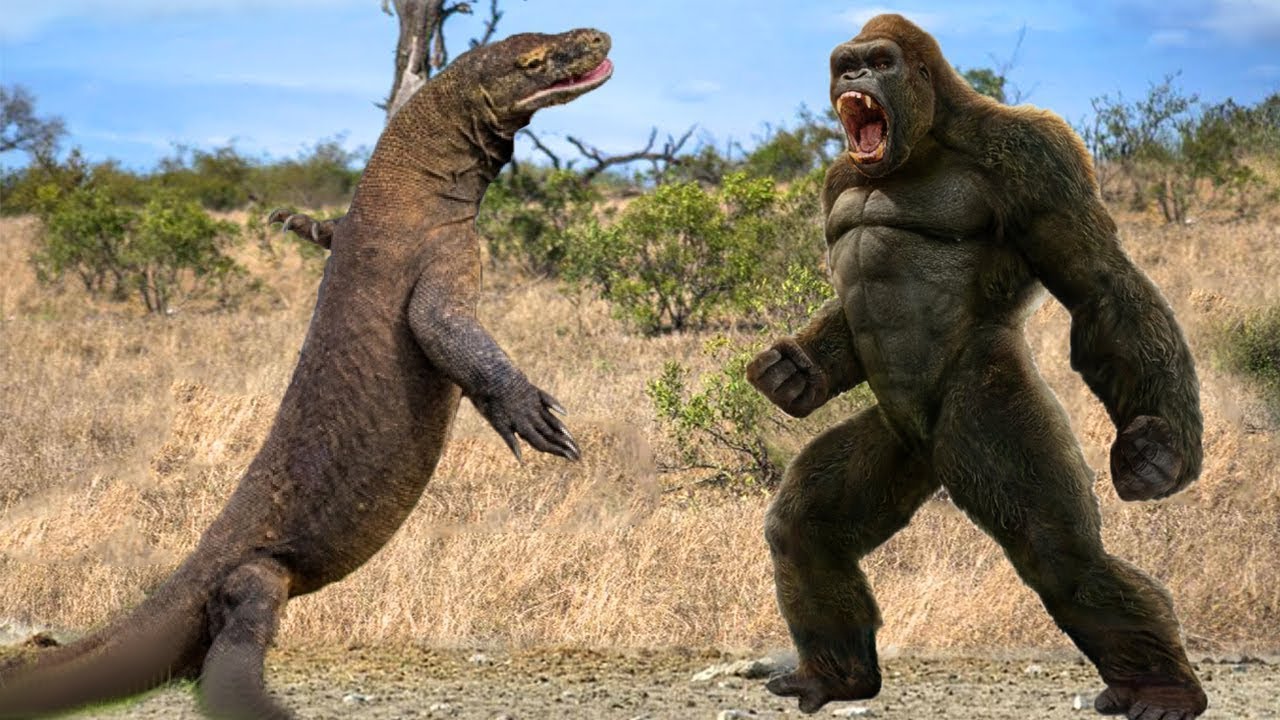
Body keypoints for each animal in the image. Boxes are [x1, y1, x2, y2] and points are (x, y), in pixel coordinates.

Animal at [747, 14, 1207, 719]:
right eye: (847, 64)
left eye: (879, 62)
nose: (857, 76)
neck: (927, 137)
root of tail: (934, 455)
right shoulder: (837, 179)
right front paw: (795, 370)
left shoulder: (1034, 154)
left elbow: (1100, 286)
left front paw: (1161, 447)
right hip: (903, 442)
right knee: (805, 528)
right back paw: (837, 676)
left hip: (988, 409)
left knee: (1058, 551)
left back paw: (1161, 687)